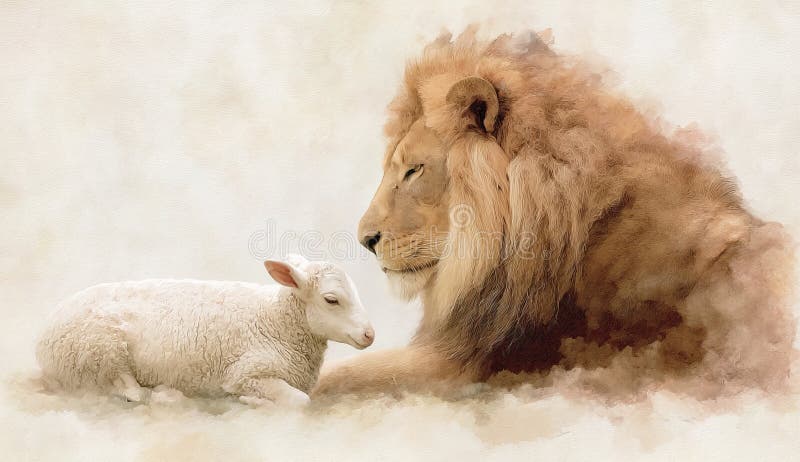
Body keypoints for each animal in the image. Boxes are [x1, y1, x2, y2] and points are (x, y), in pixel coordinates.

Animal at [36, 254, 374, 406]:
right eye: (331, 300)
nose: (370, 335)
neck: (274, 319)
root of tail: (41, 340)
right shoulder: (248, 373)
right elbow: (299, 401)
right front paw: (250, 402)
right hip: (101, 350)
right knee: (128, 391)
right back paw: (164, 394)